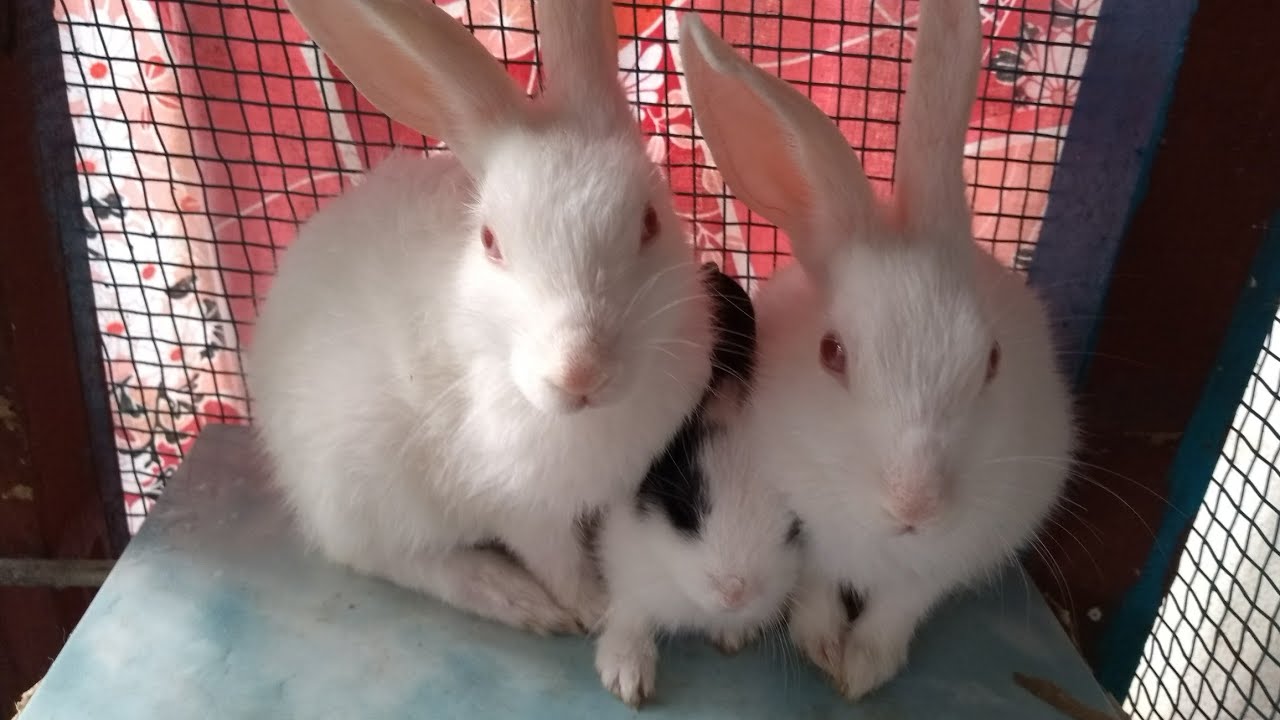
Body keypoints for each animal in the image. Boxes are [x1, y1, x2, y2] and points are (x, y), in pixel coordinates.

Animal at [247, 0, 715, 636]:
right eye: (491, 242)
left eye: (649, 223)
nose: (580, 372)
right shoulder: (521, 508)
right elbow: (558, 563)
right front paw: (594, 609)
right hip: (362, 483)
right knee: (394, 559)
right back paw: (511, 596)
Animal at [591, 264, 804, 706]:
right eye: (685, 509)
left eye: (794, 526)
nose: (734, 594)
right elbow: (630, 608)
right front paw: (626, 677)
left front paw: (733, 636)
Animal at [678, 2, 1075, 701]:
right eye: (831, 353)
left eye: (993, 360)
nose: (915, 505)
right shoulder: (807, 537)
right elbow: (813, 589)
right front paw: (820, 645)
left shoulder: (942, 562)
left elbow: (898, 607)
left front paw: (860, 670)